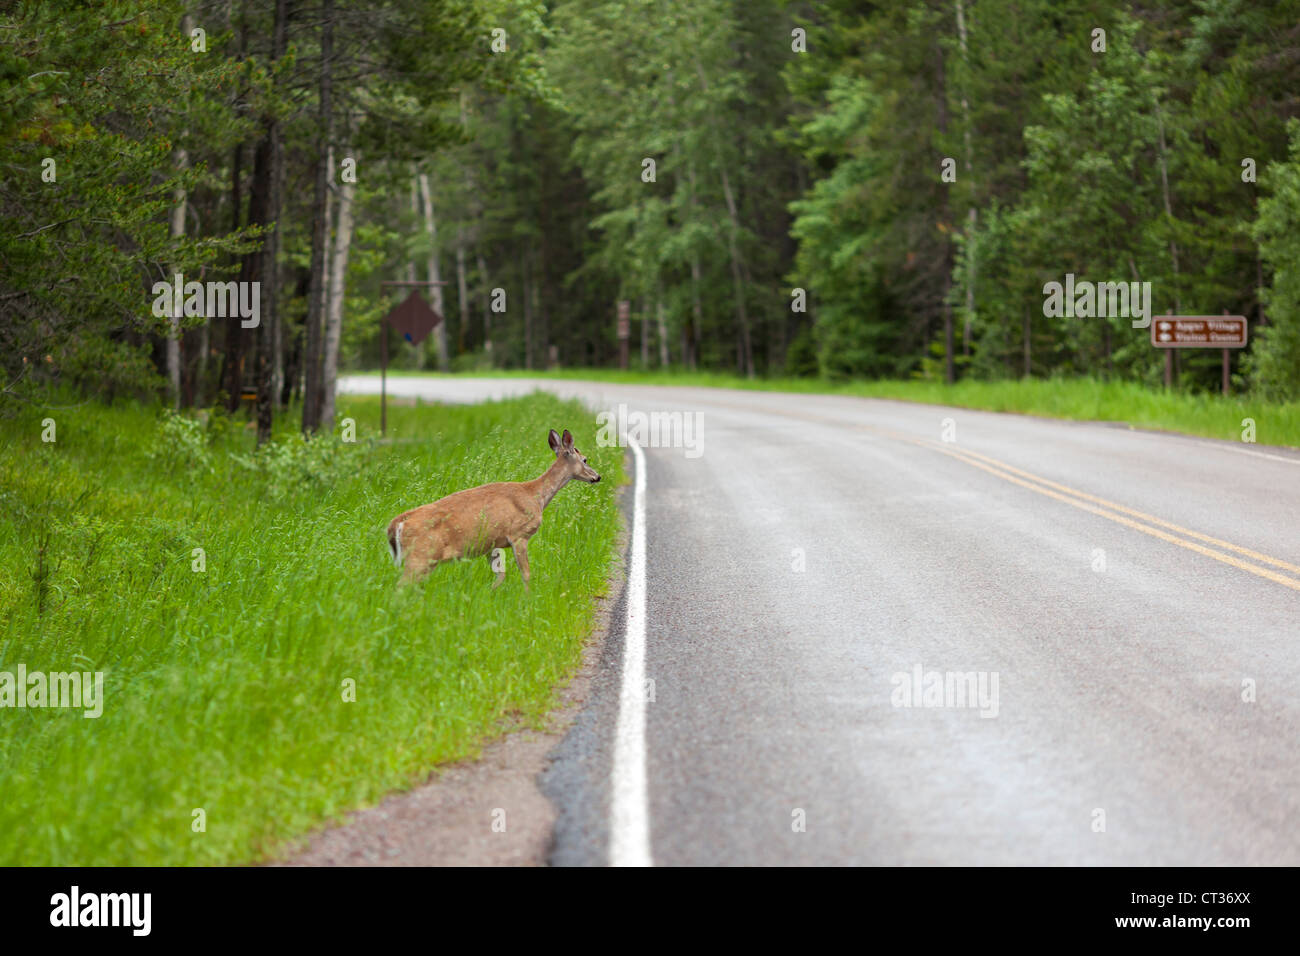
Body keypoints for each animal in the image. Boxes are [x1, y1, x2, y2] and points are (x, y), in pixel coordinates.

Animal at [386, 428, 601, 589]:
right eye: (585, 459)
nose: (597, 477)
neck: (536, 496)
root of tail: (396, 524)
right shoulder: (519, 534)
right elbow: (526, 573)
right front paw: (528, 598)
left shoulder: (493, 543)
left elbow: (500, 575)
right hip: (421, 556)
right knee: (401, 587)